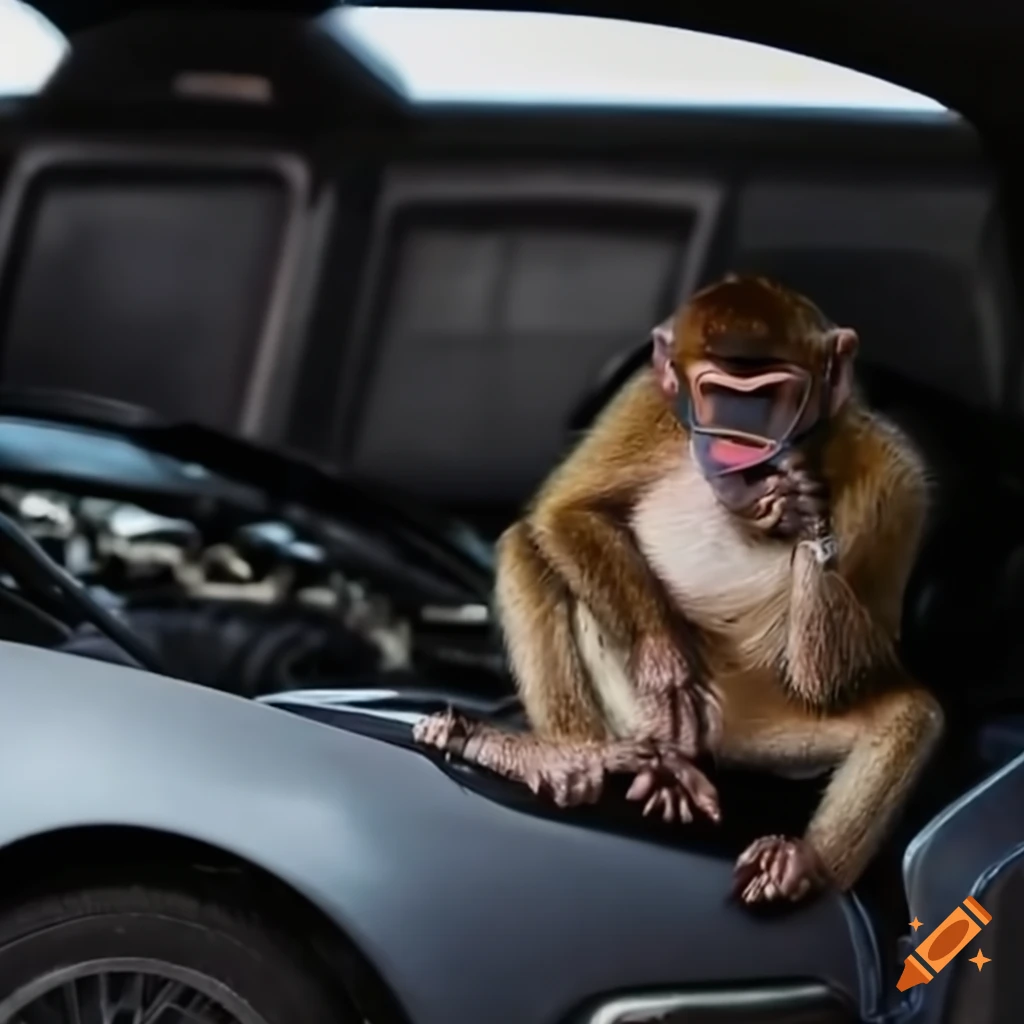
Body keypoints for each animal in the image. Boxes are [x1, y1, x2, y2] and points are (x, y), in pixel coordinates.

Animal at [413, 274, 944, 906]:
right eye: (718, 393)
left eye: (773, 394)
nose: (744, 443)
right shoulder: (647, 403)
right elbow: (566, 511)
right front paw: (666, 664)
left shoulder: (897, 478)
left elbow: (849, 667)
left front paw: (808, 516)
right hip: (638, 716)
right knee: (528, 548)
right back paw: (570, 763)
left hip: (772, 727)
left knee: (908, 716)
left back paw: (802, 864)